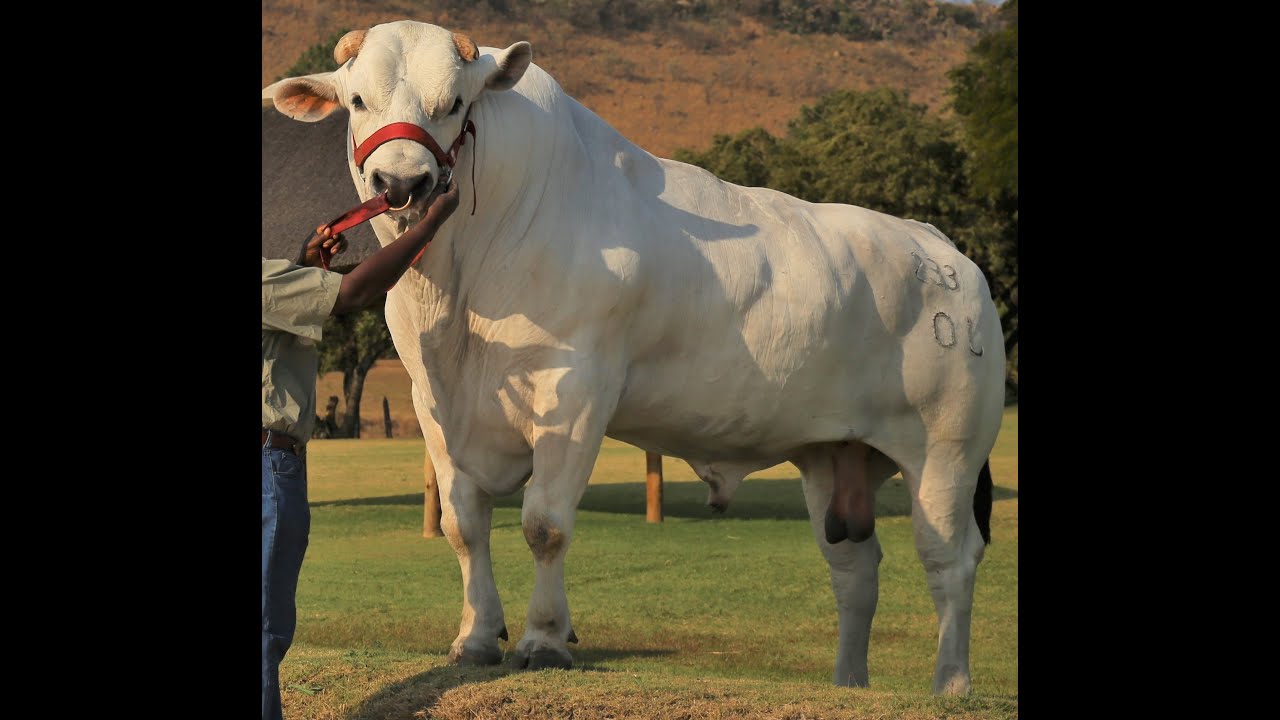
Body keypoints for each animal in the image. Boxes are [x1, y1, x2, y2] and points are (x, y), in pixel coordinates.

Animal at [264, 20, 1006, 695]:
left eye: (454, 103)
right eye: (358, 100)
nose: (402, 181)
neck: (460, 284)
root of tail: (944, 252)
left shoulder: (575, 393)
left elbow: (544, 524)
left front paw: (542, 639)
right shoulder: (434, 403)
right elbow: (464, 525)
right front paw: (475, 638)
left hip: (946, 450)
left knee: (948, 557)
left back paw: (950, 684)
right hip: (834, 453)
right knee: (853, 567)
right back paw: (848, 683)